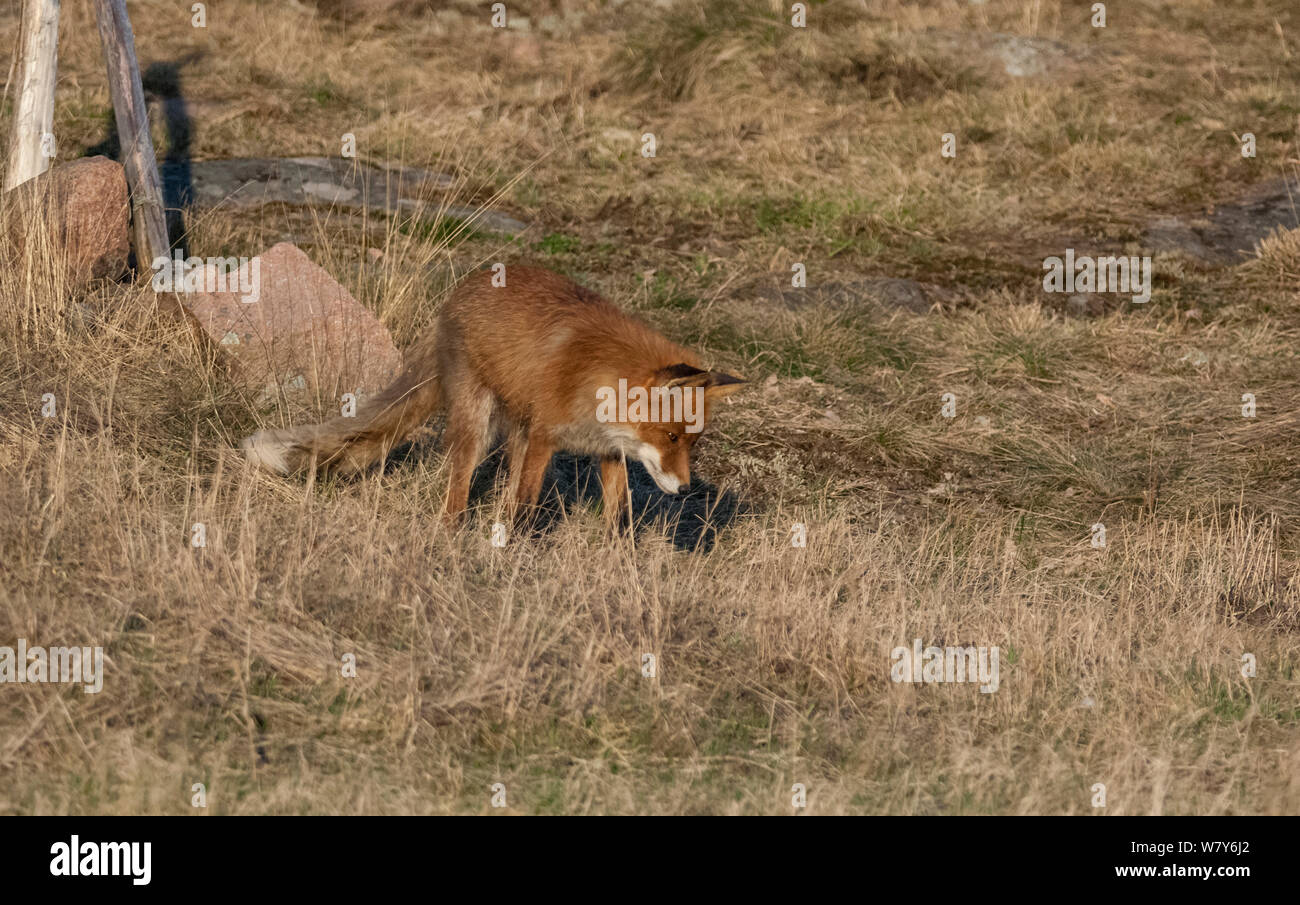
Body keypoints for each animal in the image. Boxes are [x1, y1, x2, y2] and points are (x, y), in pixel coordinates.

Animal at [240, 265, 746, 528]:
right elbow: (525, 503)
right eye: (671, 437)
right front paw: (512, 549)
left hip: (513, 426)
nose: (687, 489)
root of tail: (460, 289)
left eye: (693, 442)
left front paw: (614, 560)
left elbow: (617, 514)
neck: (598, 382)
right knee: (459, 483)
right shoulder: (545, 436)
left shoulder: (608, 450)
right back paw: (451, 531)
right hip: (479, 422)